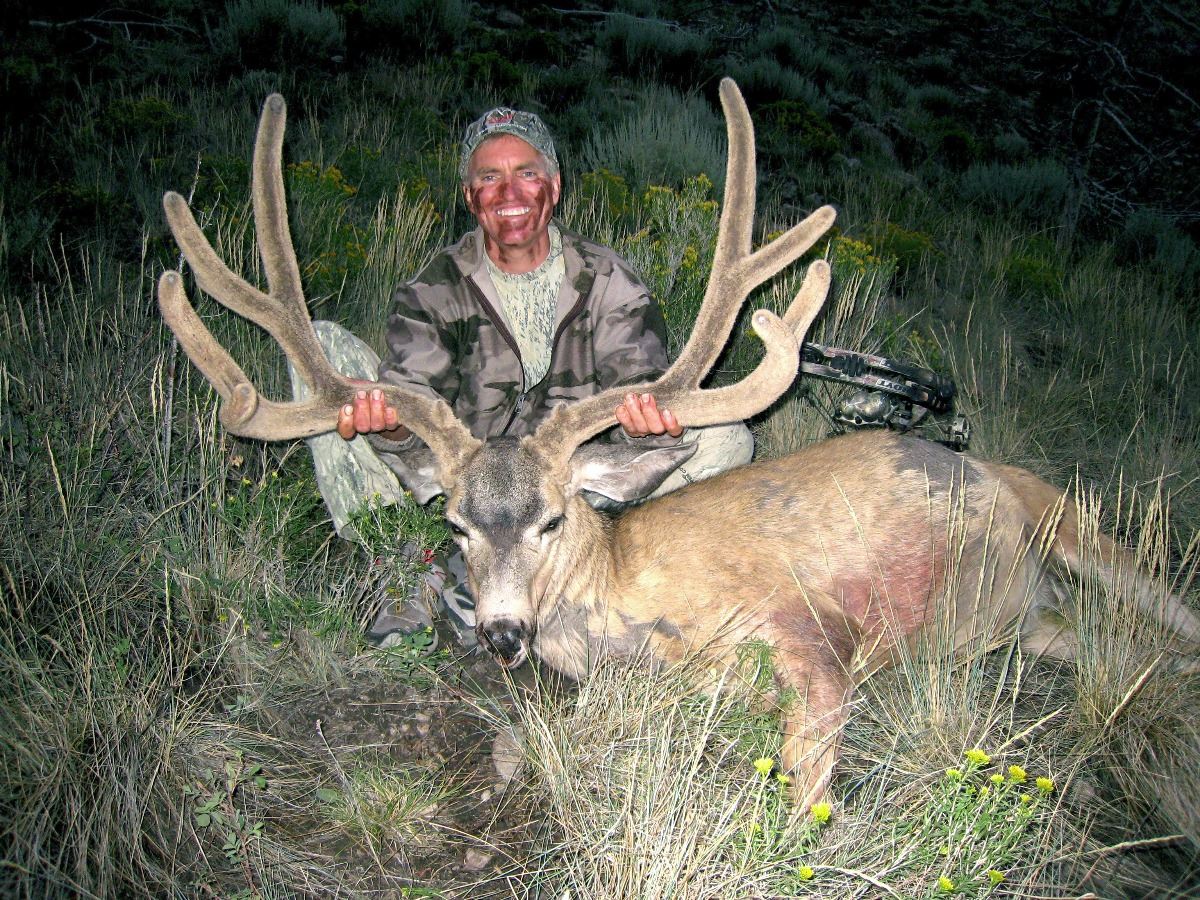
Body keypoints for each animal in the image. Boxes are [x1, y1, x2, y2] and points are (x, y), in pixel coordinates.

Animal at [157, 79, 1200, 810]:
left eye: (552, 519)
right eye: (453, 524)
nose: (501, 634)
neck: (628, 611)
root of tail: (995, 466)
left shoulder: (809, 631)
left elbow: (807, 789)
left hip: (1079, 529)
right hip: (1036, 615)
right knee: (1102, 642)